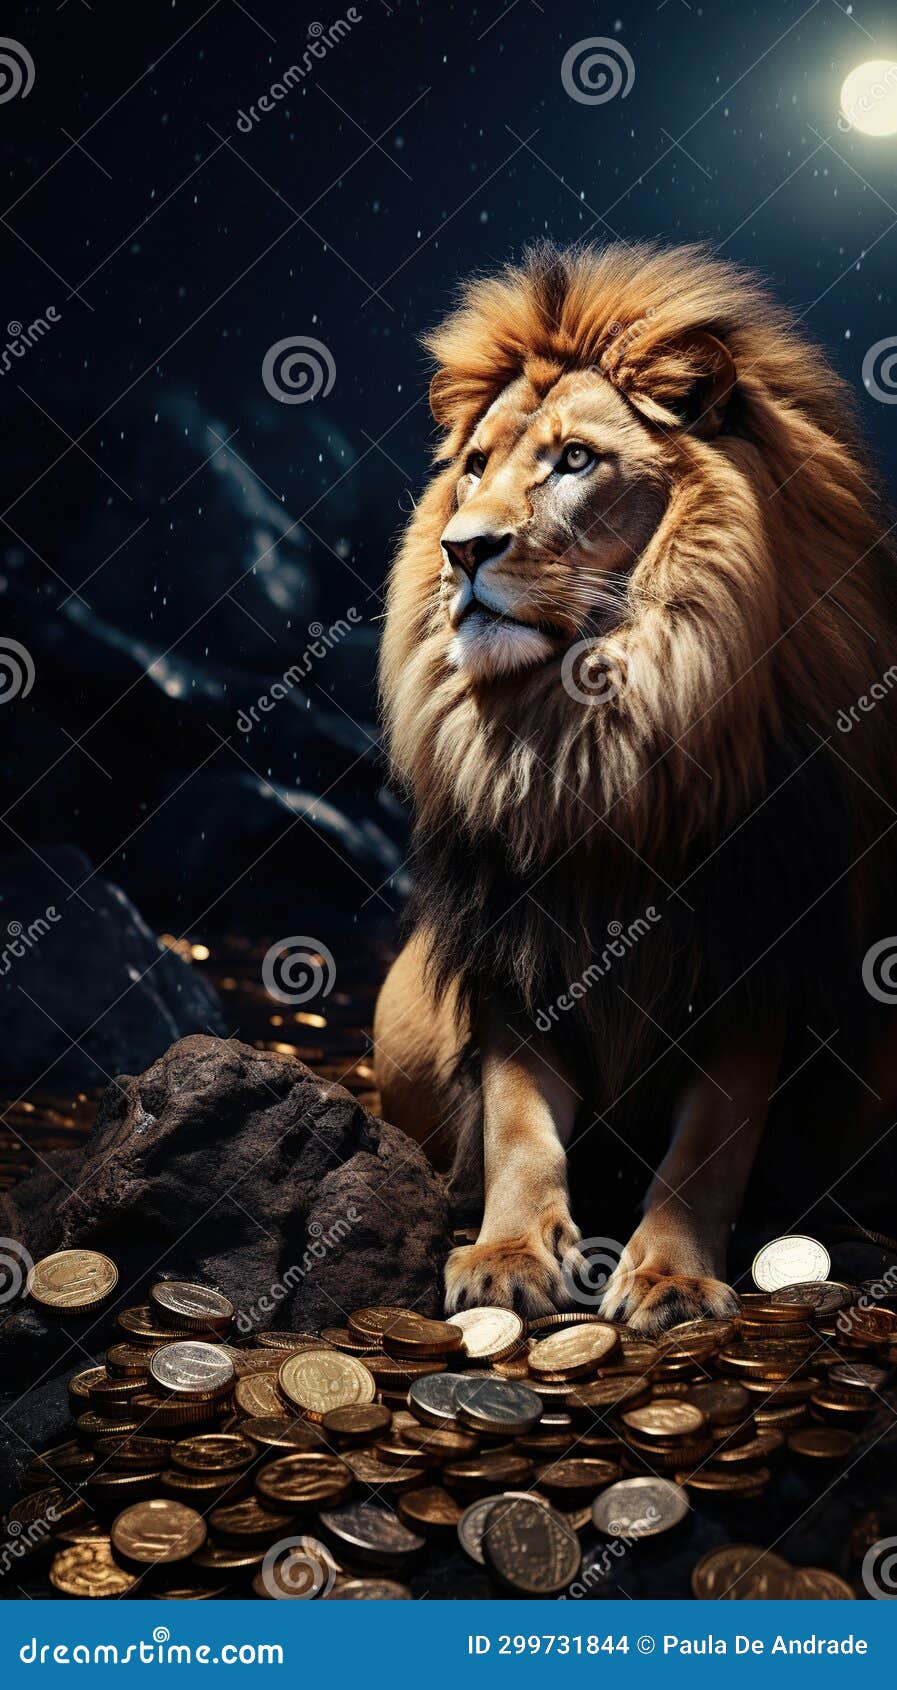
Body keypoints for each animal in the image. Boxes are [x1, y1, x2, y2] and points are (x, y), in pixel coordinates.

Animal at [373, 241, 897, 1332]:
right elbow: (518, 1125)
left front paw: (671, 1277)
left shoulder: (751, 955)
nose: (461, 549)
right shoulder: (518, 957)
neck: (590, 741)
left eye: (575, 461)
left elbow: (712, 1140)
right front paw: (506, 1256)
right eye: (475, 466)